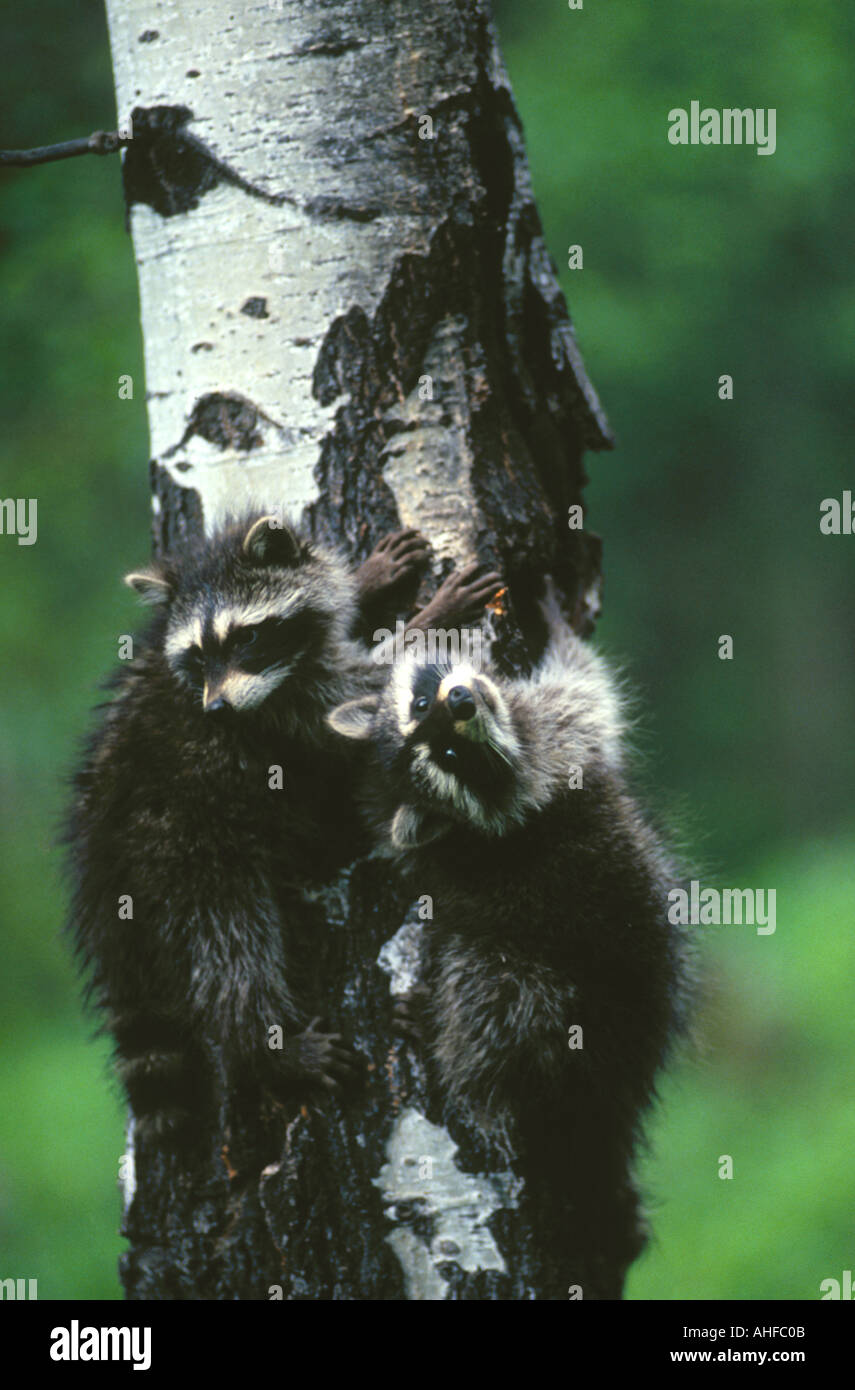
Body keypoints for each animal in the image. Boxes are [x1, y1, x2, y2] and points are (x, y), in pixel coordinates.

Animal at [66, 513, 502, 1142]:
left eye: (244, 639)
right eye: (196, 657)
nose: (217, 711)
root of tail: (98, 853)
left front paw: (366, 578)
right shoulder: (293, 704)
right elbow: (375, 690)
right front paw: (433, 616)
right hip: (182, 849)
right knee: (231, 949)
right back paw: (265, 1049)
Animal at [329, 583, 691, 1297]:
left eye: (425, 706)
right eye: (445, 754)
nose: (462, 701)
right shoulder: (556, 740)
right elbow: (588, 690)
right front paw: (562, 637)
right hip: (536, 976)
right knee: (500, 1001)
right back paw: (456, 1057)